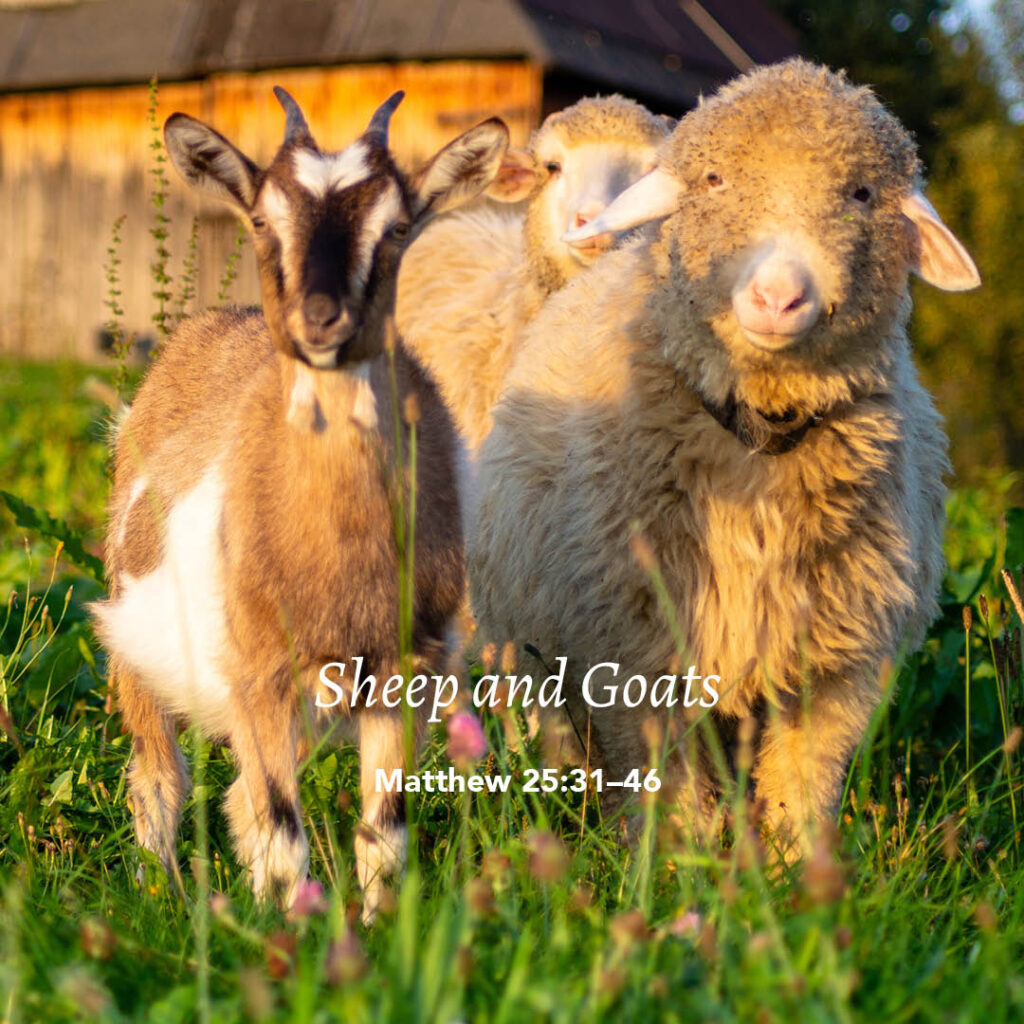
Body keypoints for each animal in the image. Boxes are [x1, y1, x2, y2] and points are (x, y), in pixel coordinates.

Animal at [91, 87, 508, 921]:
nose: (321, 320)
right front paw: (289, 937)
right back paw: (163, 894)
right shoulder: (258, 672)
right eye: (261, 219)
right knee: (160, 780)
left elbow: (382, 833)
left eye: (398, 228)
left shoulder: (404, 667)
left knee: (240, 800)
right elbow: (284, 832)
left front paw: (373, 933)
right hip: (136, 637)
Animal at [469, 59, 980, 855]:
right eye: (713, 180)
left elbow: (803, 781)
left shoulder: (838, 665)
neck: (758, 439)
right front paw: (677, 862)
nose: (778, 295)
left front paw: (798, 870)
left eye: (861, 193)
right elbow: (666, 779)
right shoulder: (635, 648)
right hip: (526, 636)